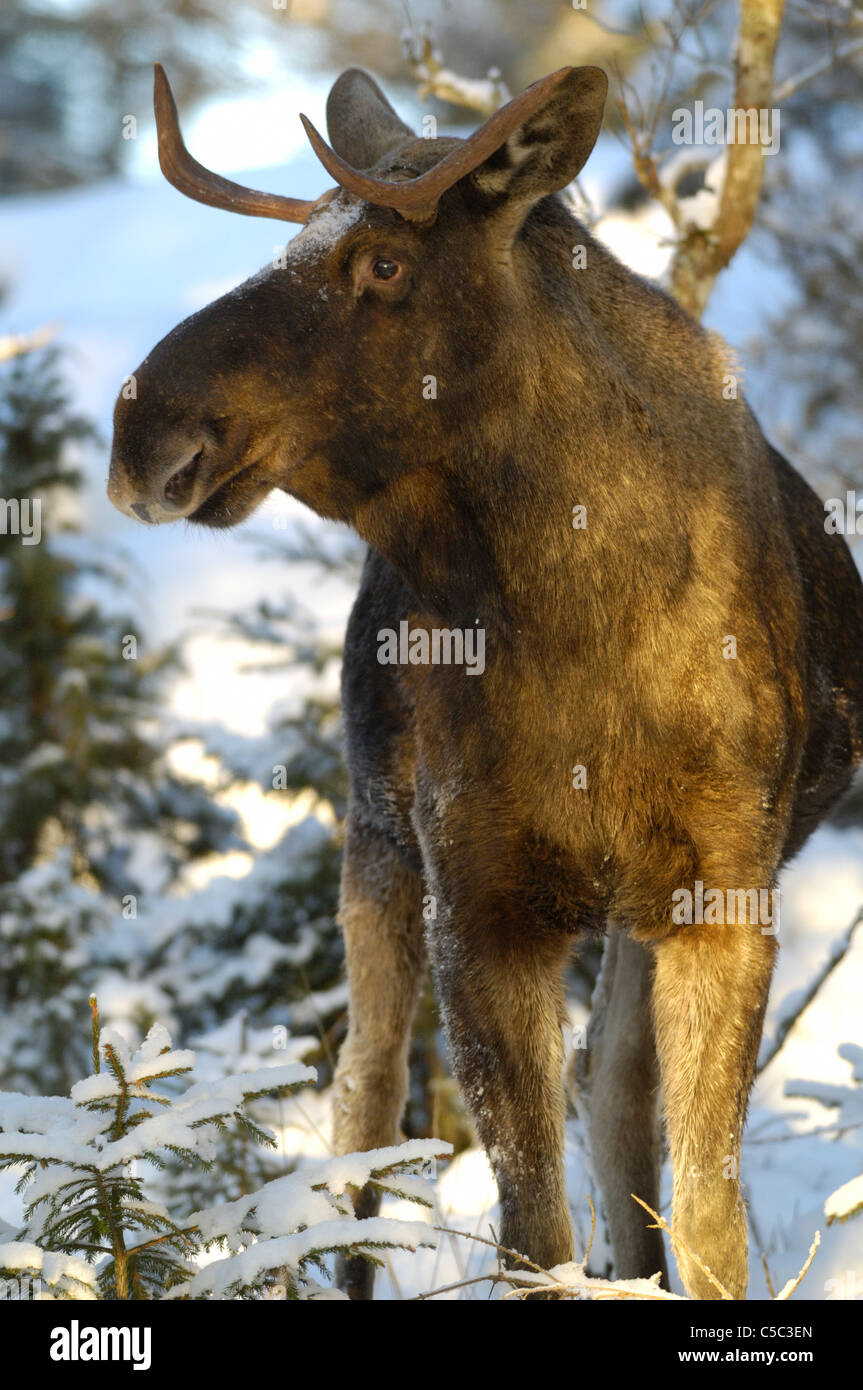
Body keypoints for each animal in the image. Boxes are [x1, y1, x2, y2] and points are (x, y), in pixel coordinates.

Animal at [108, 61, 863, 1300]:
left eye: (382, 263)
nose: (141, 427)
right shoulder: (475, 897)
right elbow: (529, 1238)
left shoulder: (721, 892)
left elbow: (704, 1212)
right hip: (375, 828)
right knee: (363, 1098)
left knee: (610, 1085)